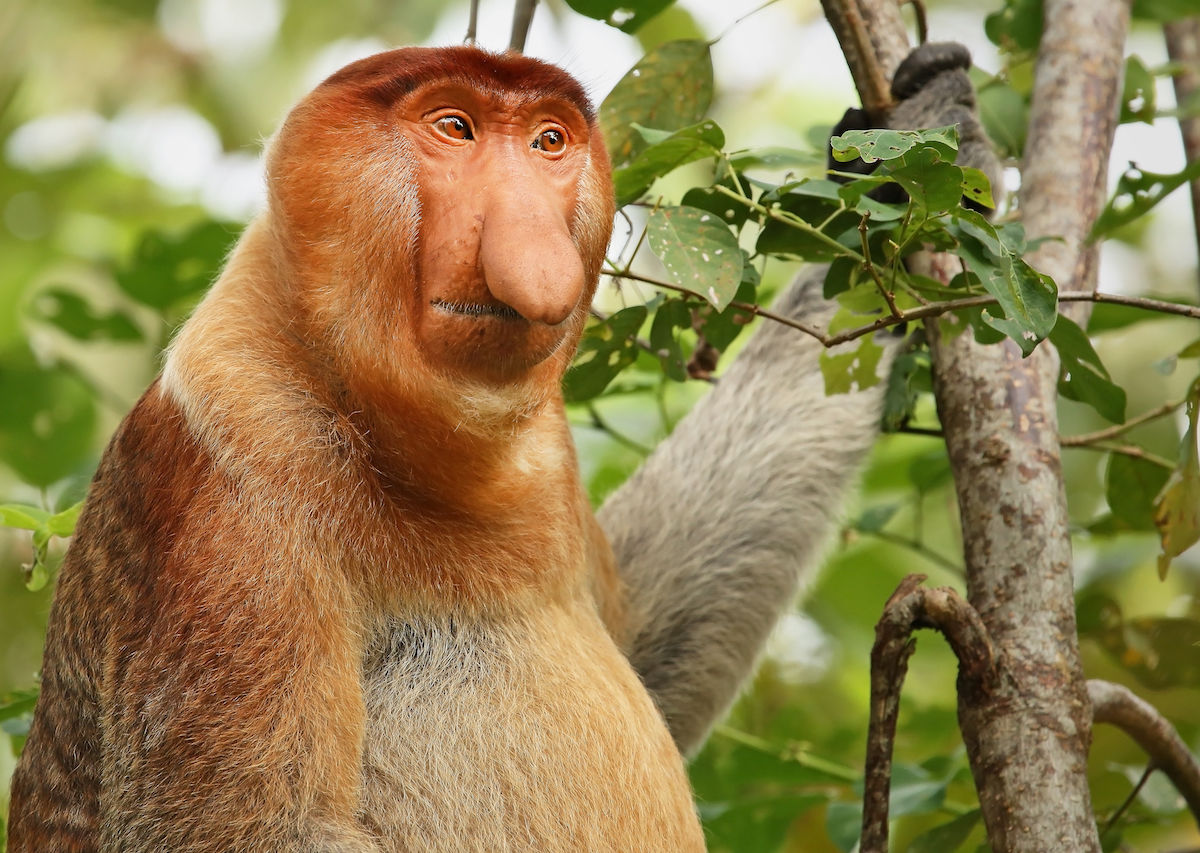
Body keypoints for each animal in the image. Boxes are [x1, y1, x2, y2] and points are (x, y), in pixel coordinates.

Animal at [6, 42, 997, 852]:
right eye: (455, 127)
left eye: (548, 141)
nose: (531, 242)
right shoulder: (232, 476)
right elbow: (246, 829)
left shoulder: (548, 459)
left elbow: (647, 654)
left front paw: (907, 150)